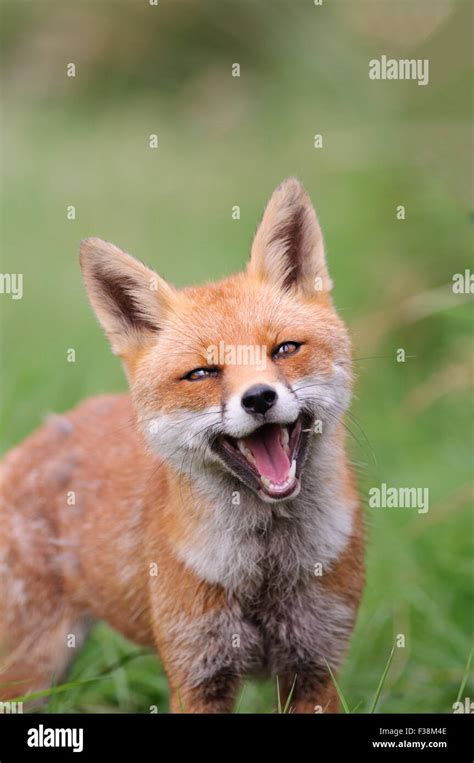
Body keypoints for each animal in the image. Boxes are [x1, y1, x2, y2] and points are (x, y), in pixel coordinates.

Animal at [0, 178, 364, 713]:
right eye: (202, 373)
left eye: (285, 349)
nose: (259, 397)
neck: (264, 570)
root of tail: (43, 431)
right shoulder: (198, 672)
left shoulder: (315, 667)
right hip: (31, 669)